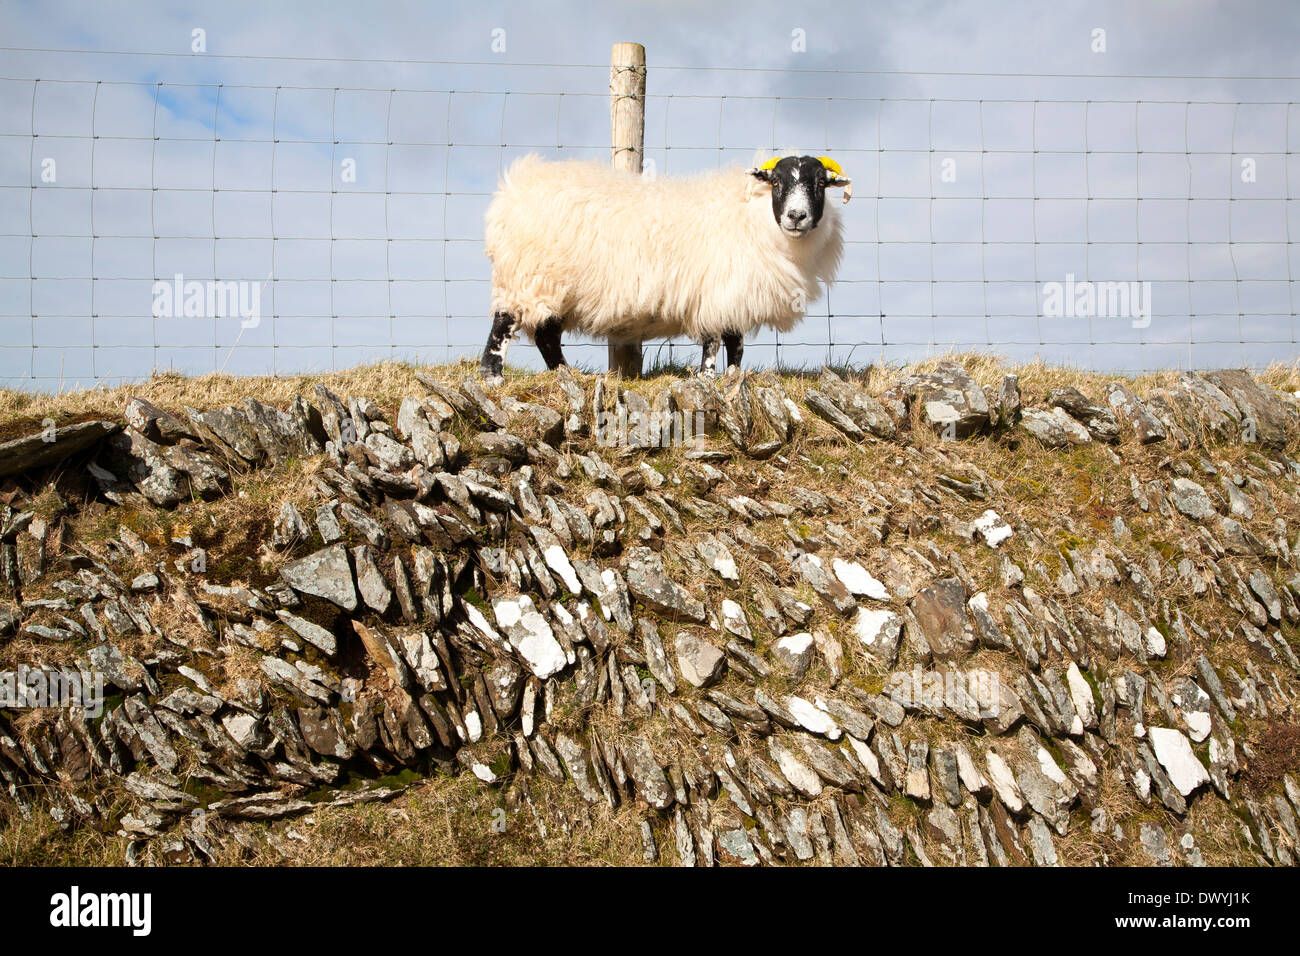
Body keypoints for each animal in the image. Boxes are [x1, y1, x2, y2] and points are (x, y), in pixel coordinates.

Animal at [478, 153, 851, 380]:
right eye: (776, 183)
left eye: (820, 183)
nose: (796, 216)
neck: (751, 216)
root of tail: (510, 194)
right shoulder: (713, 293)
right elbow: (715, 341)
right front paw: (707, 376)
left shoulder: (731, 293)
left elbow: (736, 343)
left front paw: (732, 377)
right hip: (527, 277)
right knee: (504, 323)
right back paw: (493, 375)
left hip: (553, 288)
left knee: (547, 335)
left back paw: (564, 374)